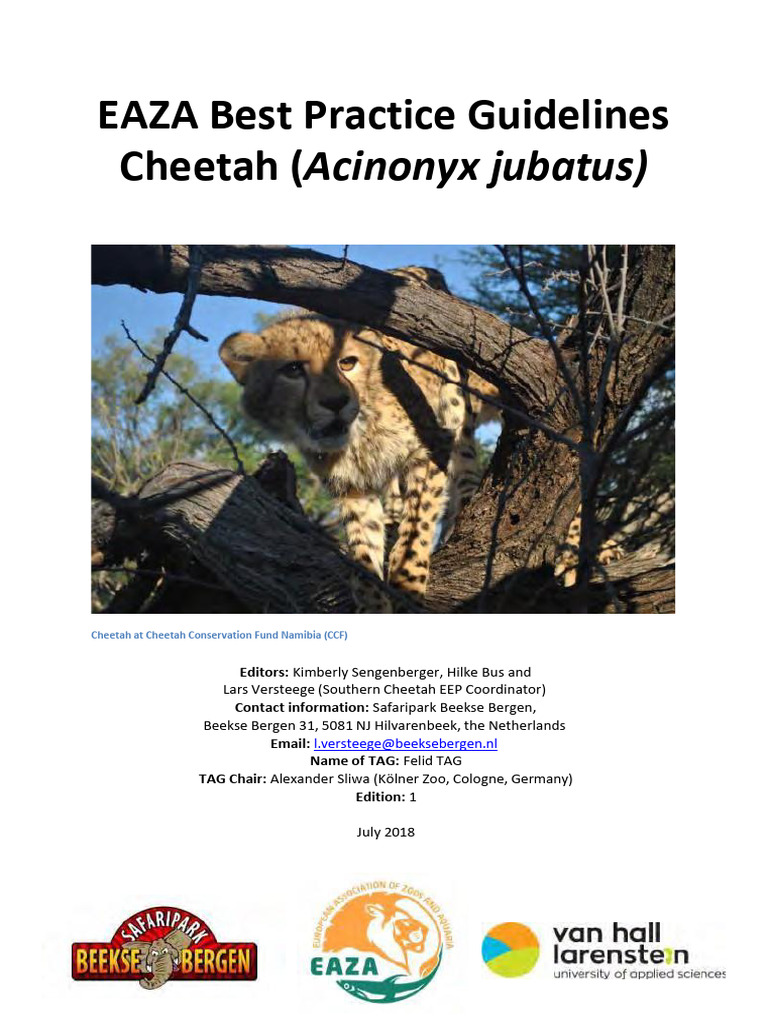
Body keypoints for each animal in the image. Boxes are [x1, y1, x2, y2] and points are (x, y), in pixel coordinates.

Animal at [219, 268, 498, 609]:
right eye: (293, 369)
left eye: (347, 362)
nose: (336, 401)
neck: (358, 435)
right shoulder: (351, 488)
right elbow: (363, 549)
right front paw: (373, 603)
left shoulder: (430, 451)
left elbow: (416, 528)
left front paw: (407, 588)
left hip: (455, 408)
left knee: (465, 471)